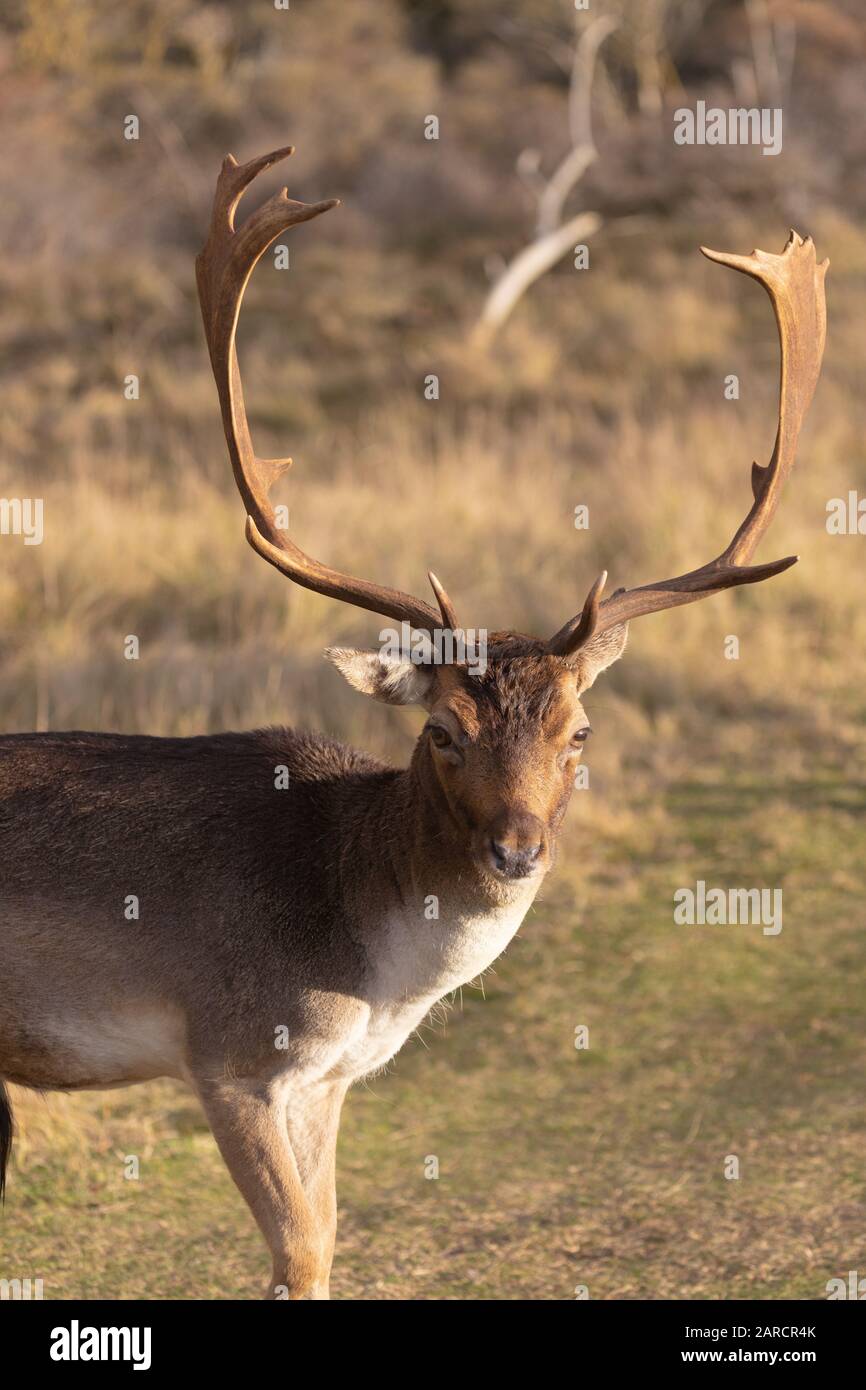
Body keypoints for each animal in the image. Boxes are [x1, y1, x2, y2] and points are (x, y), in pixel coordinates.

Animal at [0, 145, 827, 1300]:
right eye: (442, 731)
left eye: (579, 732)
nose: (516, 848)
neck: (371, 964)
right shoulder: (232, 1049)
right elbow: (301, 1249)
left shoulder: (328, 1078)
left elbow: (329, 1231)